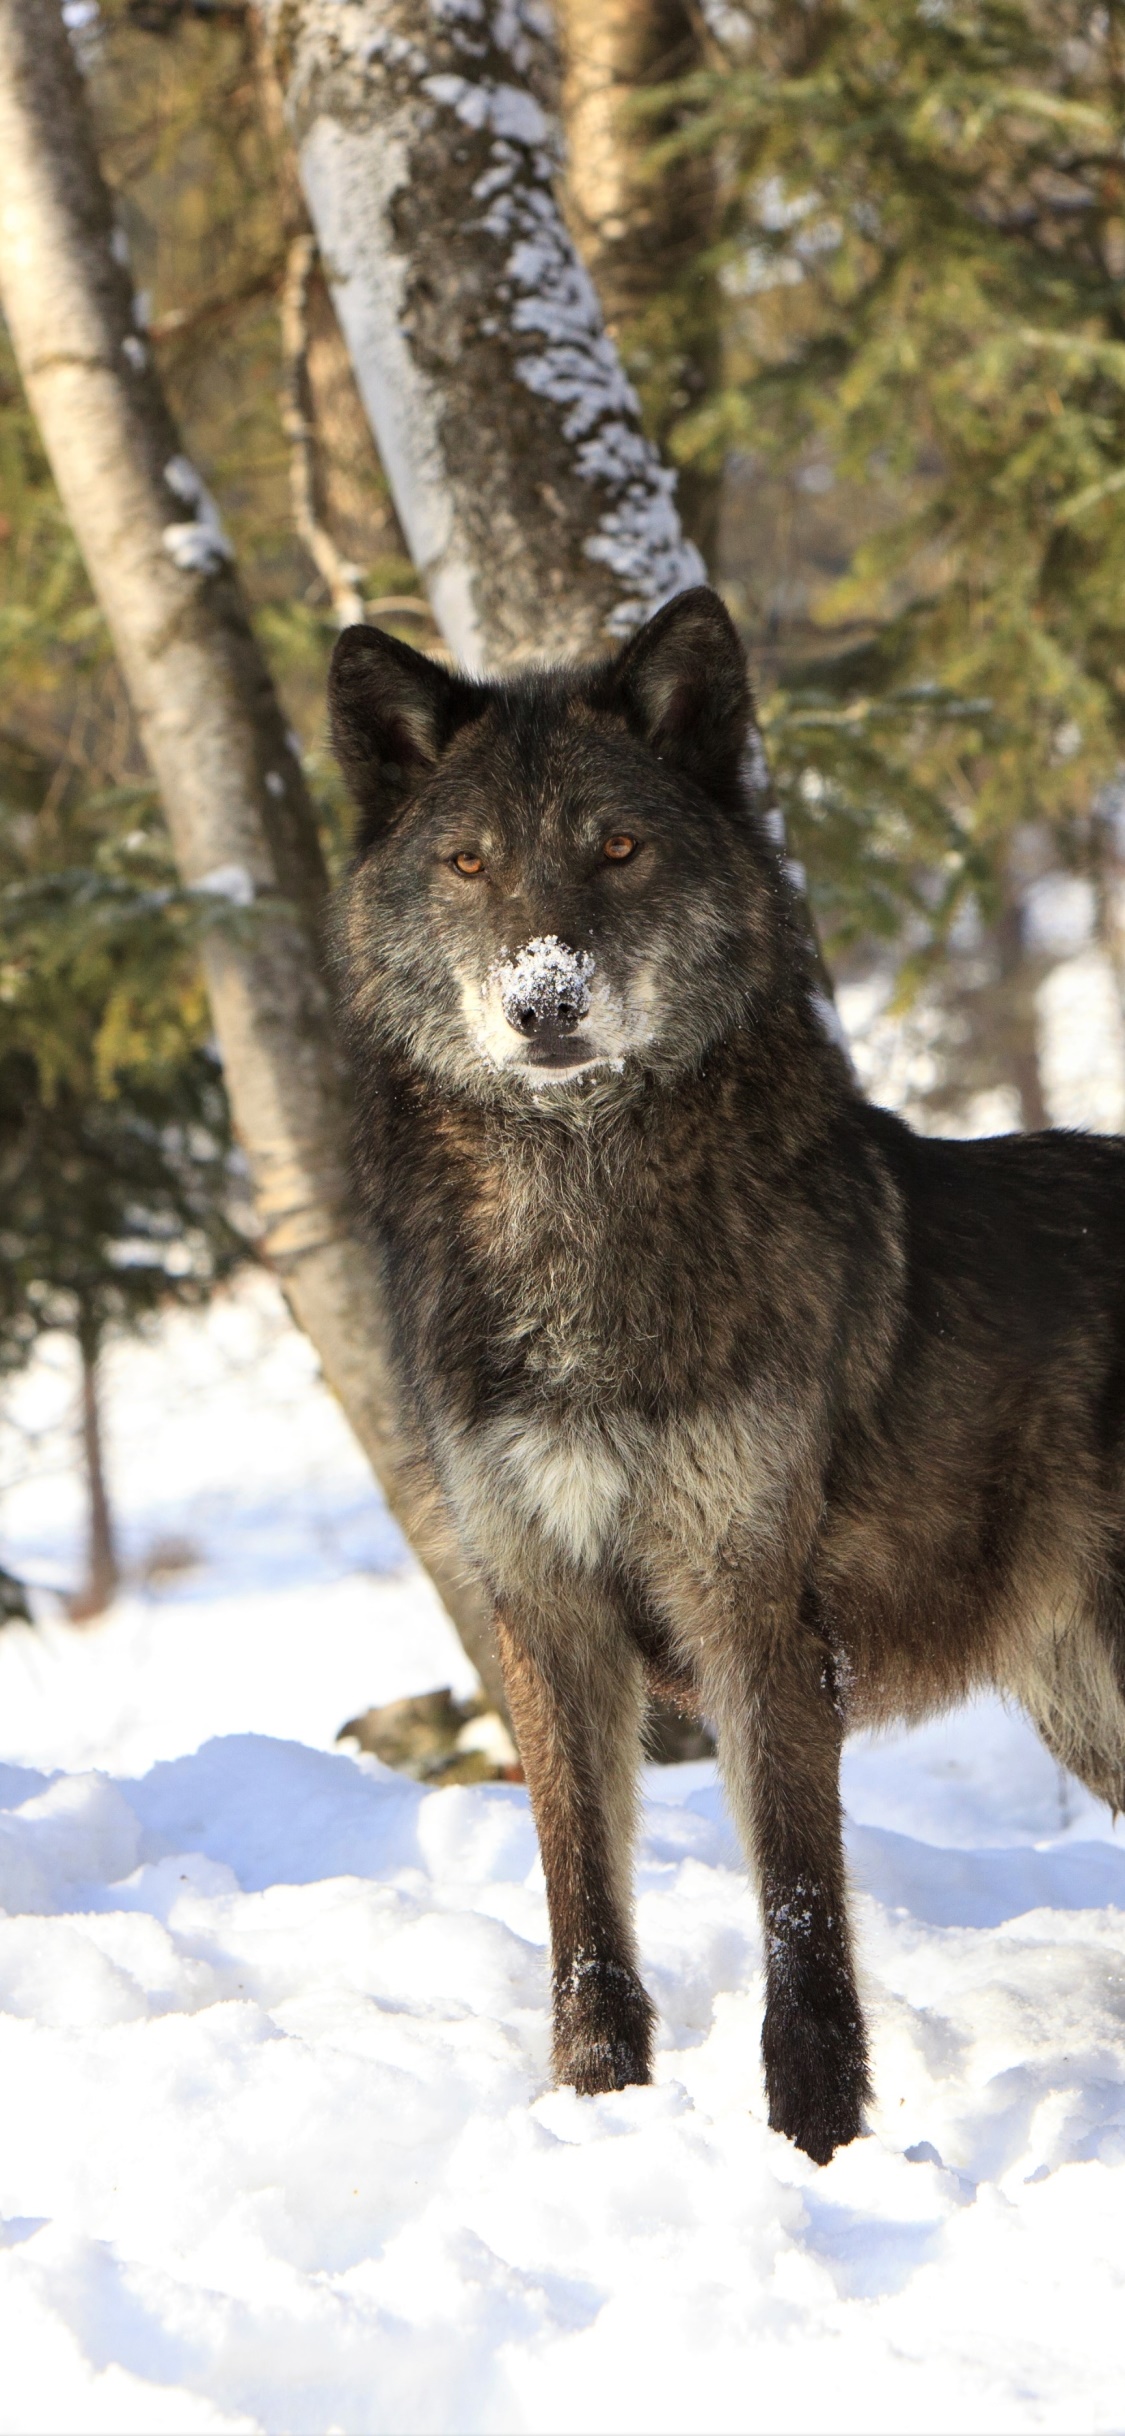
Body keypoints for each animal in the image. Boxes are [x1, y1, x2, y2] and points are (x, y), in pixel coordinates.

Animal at [331, 586, 1125, 2165]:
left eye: (617, 848)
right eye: (469, 862)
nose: (545, 1000)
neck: (583, 1221)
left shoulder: (753, 1613)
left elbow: (801, 1925)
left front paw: (817, 2157)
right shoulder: (547, 1617)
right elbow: (583, 1913)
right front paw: (594, 2117)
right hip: (1082, 1697)